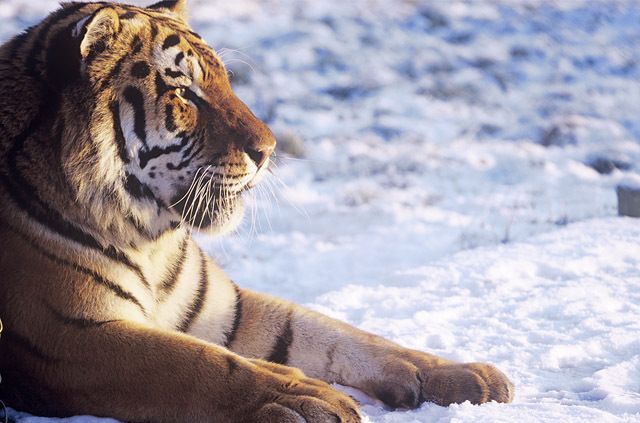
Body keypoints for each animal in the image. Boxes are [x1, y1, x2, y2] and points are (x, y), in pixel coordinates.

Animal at [0, 1, 514, 421]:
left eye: (227, 81)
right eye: (184, 94)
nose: (268, 150)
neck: (149, 239)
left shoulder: (224, 308)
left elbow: (339, 333)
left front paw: (466, 374)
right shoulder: (70, 332)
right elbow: (199, 364)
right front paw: (307, 398)